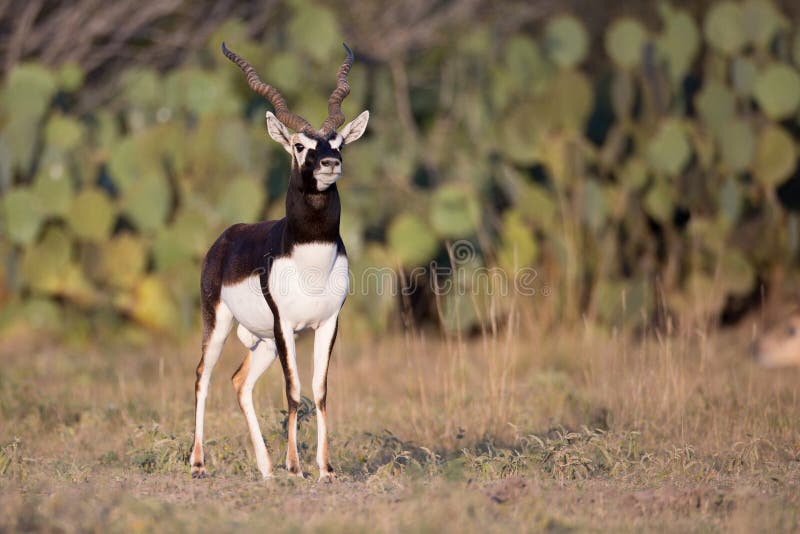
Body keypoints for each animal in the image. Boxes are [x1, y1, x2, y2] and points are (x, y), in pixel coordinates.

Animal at [190, 42, 369, 481]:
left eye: (338, 143)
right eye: (300, 146)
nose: (330, 164)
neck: (310, 265)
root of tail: (226, 237)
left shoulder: (327, 323)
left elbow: (319, 391)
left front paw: (325, 469)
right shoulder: (285, 324)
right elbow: (293, 391)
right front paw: (296, 466)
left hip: (264, 342)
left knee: (239, 381)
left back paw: (266, 469)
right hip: (219, 323)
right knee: (203, 375)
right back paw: (199, 464)